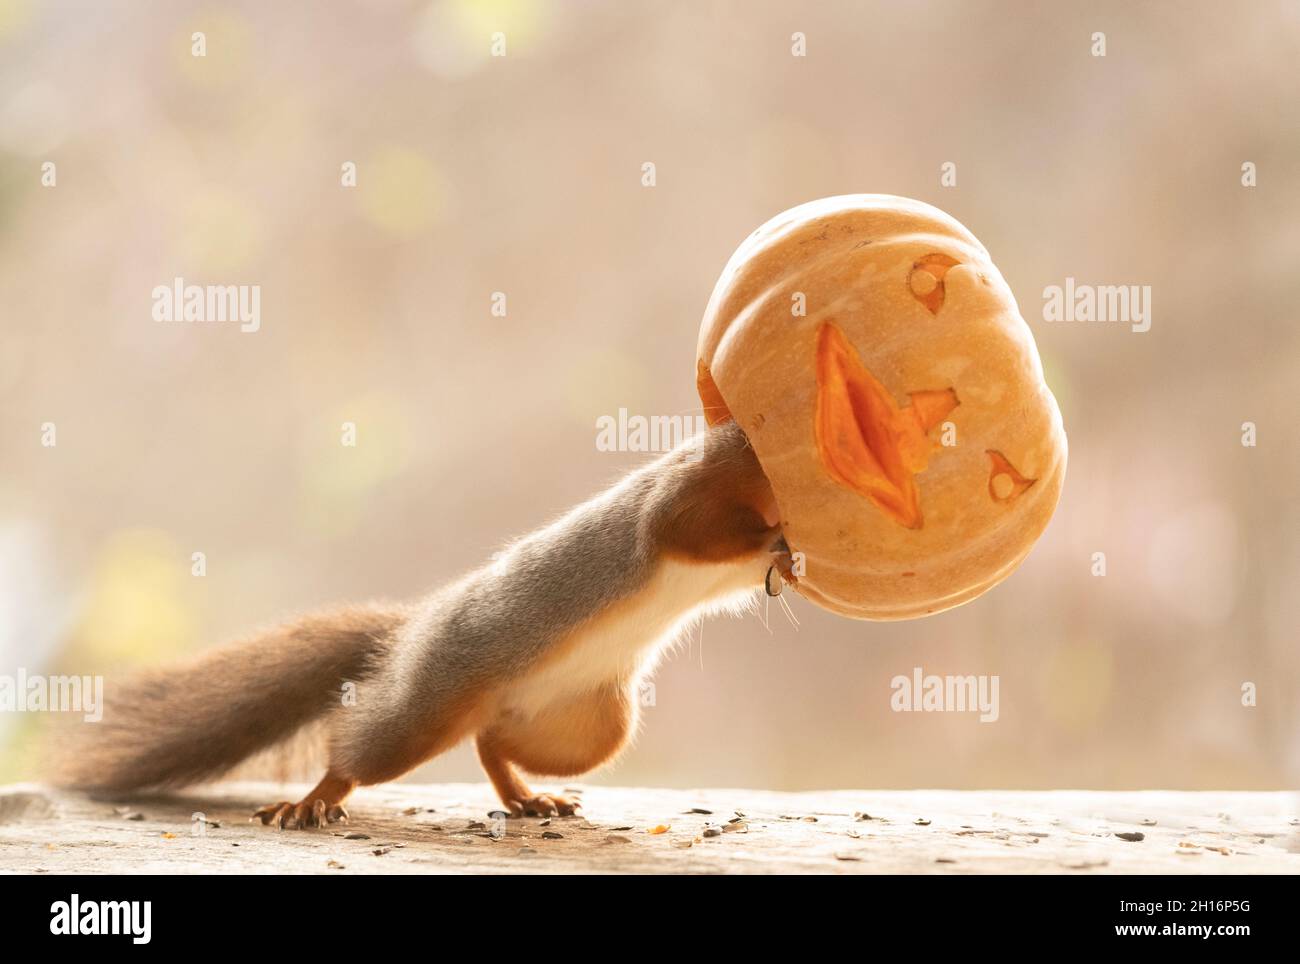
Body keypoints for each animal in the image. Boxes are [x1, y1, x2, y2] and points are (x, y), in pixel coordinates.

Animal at [52, 420, 795, 828]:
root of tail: (410, 632)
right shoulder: (682, 500)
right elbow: (690, 531)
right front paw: (776, 536)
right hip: (426, 706)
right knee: (361, 748)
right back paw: (315, 798)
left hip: (590, 725)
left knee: (491, 740)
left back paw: (528, 799)